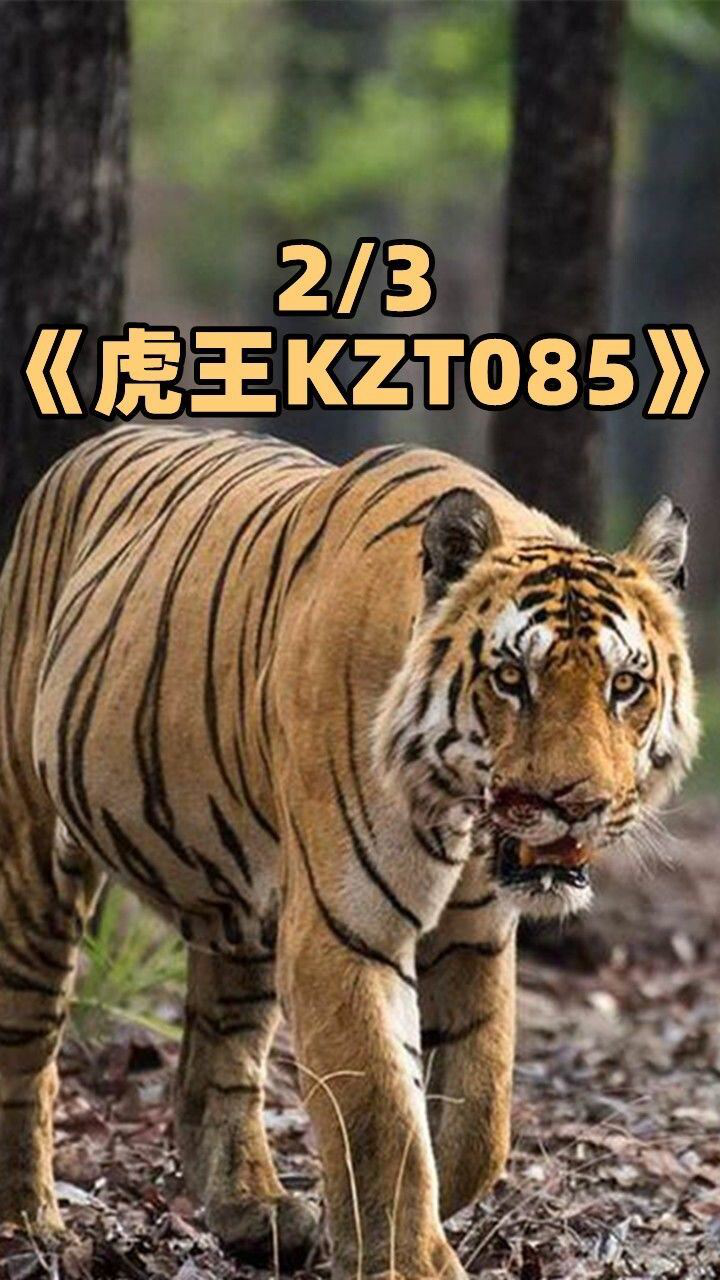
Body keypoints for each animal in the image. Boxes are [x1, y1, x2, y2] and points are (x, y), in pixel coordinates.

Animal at [0, 425, 698, 1279]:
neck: (460, 807)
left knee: (219, 1061)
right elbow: (382, 1118)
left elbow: (479, 1117)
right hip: (33, 852)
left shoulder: (476, 934)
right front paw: (408, 1259)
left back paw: (254, 1214)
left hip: (242, 910)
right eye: (511, 678)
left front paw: (385, 1220)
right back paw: (32, 1225)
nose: (576, 803)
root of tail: (93, 443)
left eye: (625, 685)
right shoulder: (343, 932)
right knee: (26, 1045)